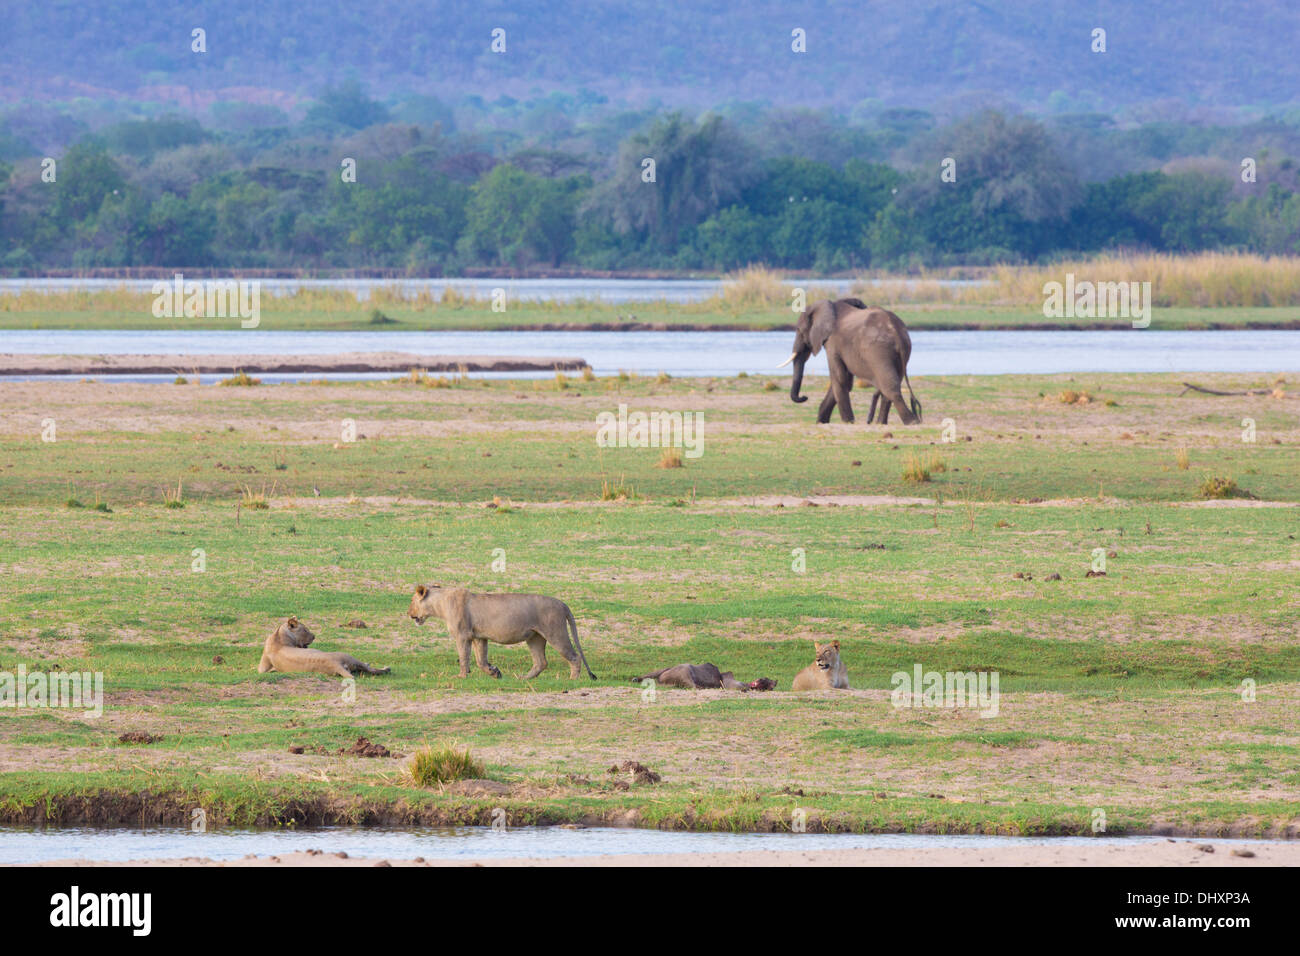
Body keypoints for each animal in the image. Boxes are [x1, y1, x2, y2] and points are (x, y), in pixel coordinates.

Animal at [257, 617, 390, 678]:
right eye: (306, 630)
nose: (314, 636)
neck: (278, 637)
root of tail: (335, 664)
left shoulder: (263, 669)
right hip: (348, 656)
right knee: (370, 669)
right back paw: (386, 668)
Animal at [408, 584, 596, 680]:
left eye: (412, 600)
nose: (409, 613)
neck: (440, 604)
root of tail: (562, 603)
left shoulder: (462, 636)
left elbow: (464, 657)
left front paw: (461, 676)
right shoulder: (479, 637)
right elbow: (480, 661)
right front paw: (495, 672)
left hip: (555, 633)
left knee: (574, 656)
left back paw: (573, 679)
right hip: (535, 637)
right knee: (541, 662)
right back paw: (523, 678)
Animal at [779, 298, 921, 425]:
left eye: (799, 330)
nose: (804, 397)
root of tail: (896, 331)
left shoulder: (832, 343)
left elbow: (839, 378)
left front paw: (847, 421)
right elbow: (845, 380)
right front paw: (822, 422)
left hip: (879, 351)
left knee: (889, 386)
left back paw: (911, 422)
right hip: (902, 351)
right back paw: (881, 423)